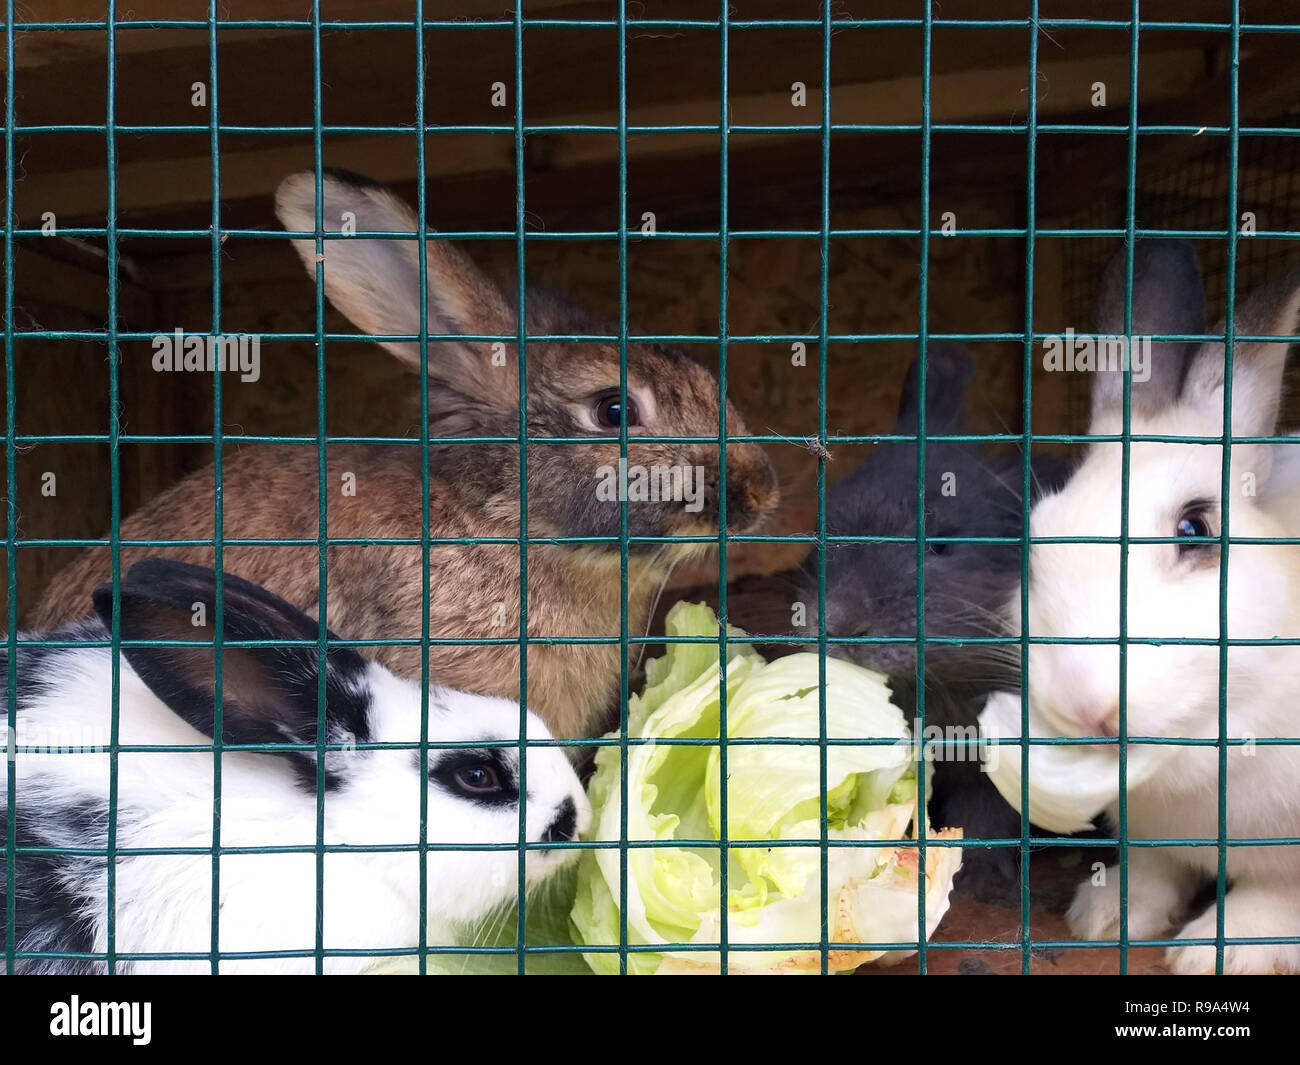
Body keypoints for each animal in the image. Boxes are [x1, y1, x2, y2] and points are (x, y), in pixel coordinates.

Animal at [1017, 238, 1300, 974]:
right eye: (1037, 536)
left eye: (1196, 527)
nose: (1082, 702)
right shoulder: (1151, 837)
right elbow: (1150, 872)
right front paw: (1103, 916)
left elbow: (1275, 895)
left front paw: (1217, 953)